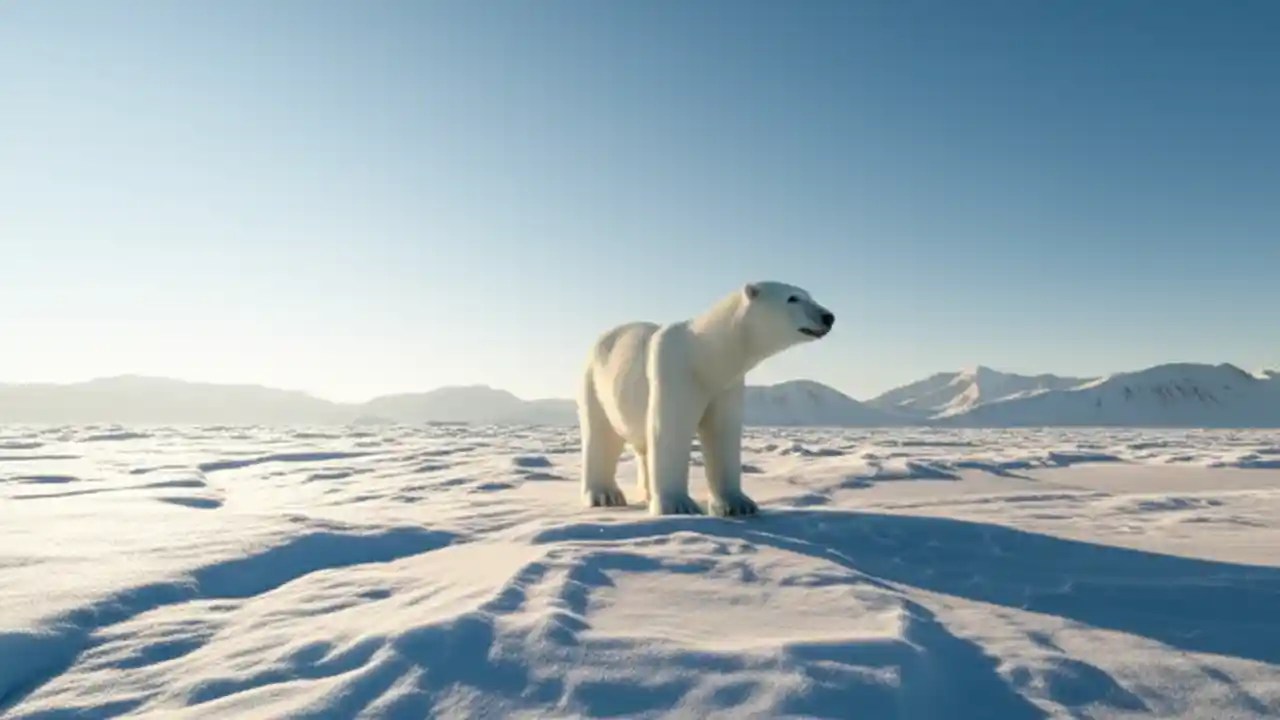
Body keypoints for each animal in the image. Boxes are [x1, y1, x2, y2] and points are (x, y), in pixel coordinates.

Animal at [576, 281, 835, 517]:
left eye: (809, 295)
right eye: (792, 298)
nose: (828, 316)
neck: (704, 356)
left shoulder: (726, 385)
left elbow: (722, 433)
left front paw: (739, 505)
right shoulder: (674, 370)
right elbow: (671, 429)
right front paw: (678, 505)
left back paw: (646, 494)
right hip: (594, 380)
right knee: (600, 434)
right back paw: (605, 496)